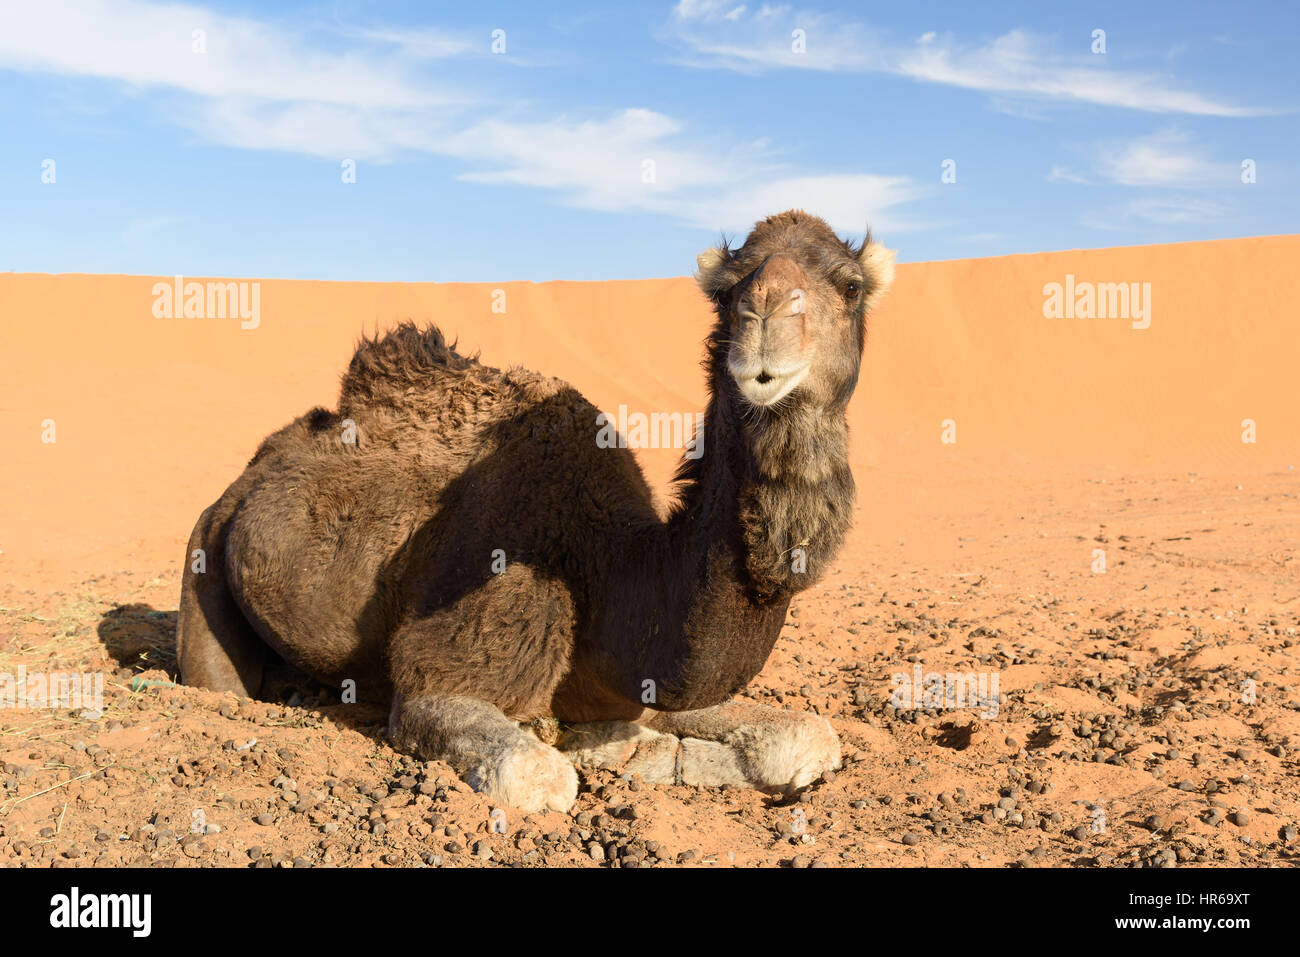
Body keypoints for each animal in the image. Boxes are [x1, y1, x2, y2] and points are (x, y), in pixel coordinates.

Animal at [177, 210, 895, 813]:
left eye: (850, 285)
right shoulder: (441, 671)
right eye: (726, 288)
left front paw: (632, 747)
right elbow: (538, 774)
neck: (607, 566)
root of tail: (249, 474)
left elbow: (810, 736)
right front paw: (607, 747)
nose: (766, 317)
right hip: (203, 552)